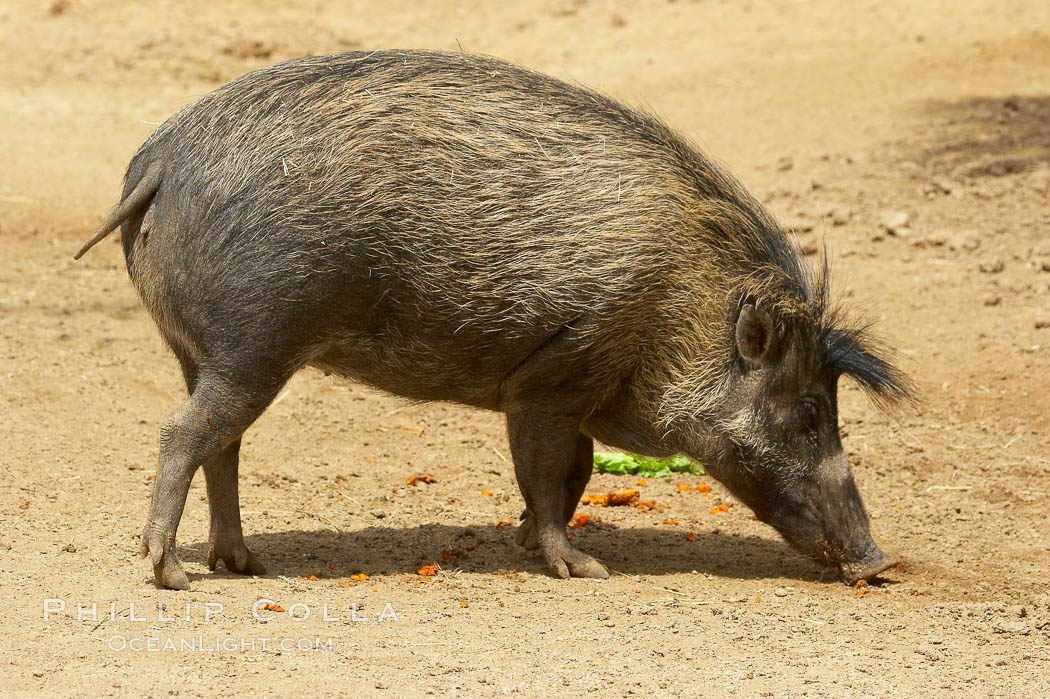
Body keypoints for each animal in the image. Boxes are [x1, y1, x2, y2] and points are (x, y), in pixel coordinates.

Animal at [75, 50, 913, 590]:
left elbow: (573, 473)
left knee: (222, 445)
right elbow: (548, 473)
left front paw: (529, 543)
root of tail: (157, 164)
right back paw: (173, 574)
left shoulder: (569, 389)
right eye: (807, 414)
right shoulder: (551, 376)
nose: (882, 563)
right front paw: (582, 569)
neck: (678, 311)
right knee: (183, 435)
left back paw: (243, 564)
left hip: (206, 353)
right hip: (253, 345)